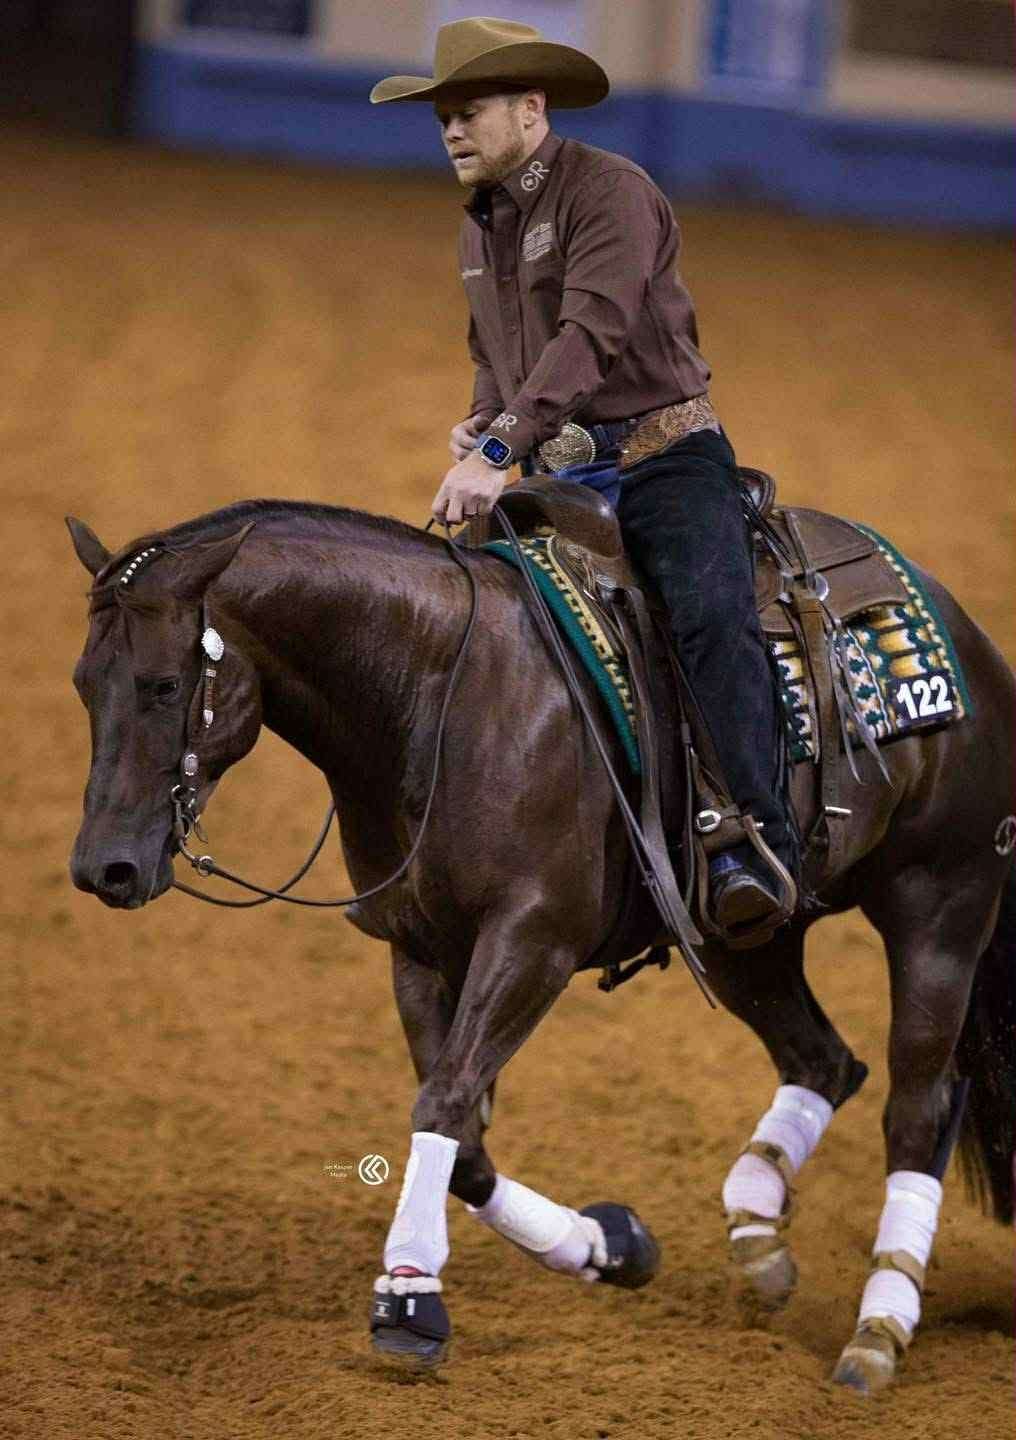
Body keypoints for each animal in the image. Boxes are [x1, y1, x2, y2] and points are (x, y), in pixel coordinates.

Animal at [65, 498, 1016, 1392]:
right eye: (82, 684)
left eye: (161, 685)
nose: (102, 868)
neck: (443, 696)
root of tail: (966, 635)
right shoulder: (417, 950)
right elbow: (462, 1136)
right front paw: (608, 1244)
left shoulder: (532, 940)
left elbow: (445, 1102)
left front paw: (408, 1303)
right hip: (747, 934)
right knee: (824, 1060)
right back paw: (757, 1236)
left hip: (941, 902)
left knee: (916, 1107)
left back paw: (876, 1333)